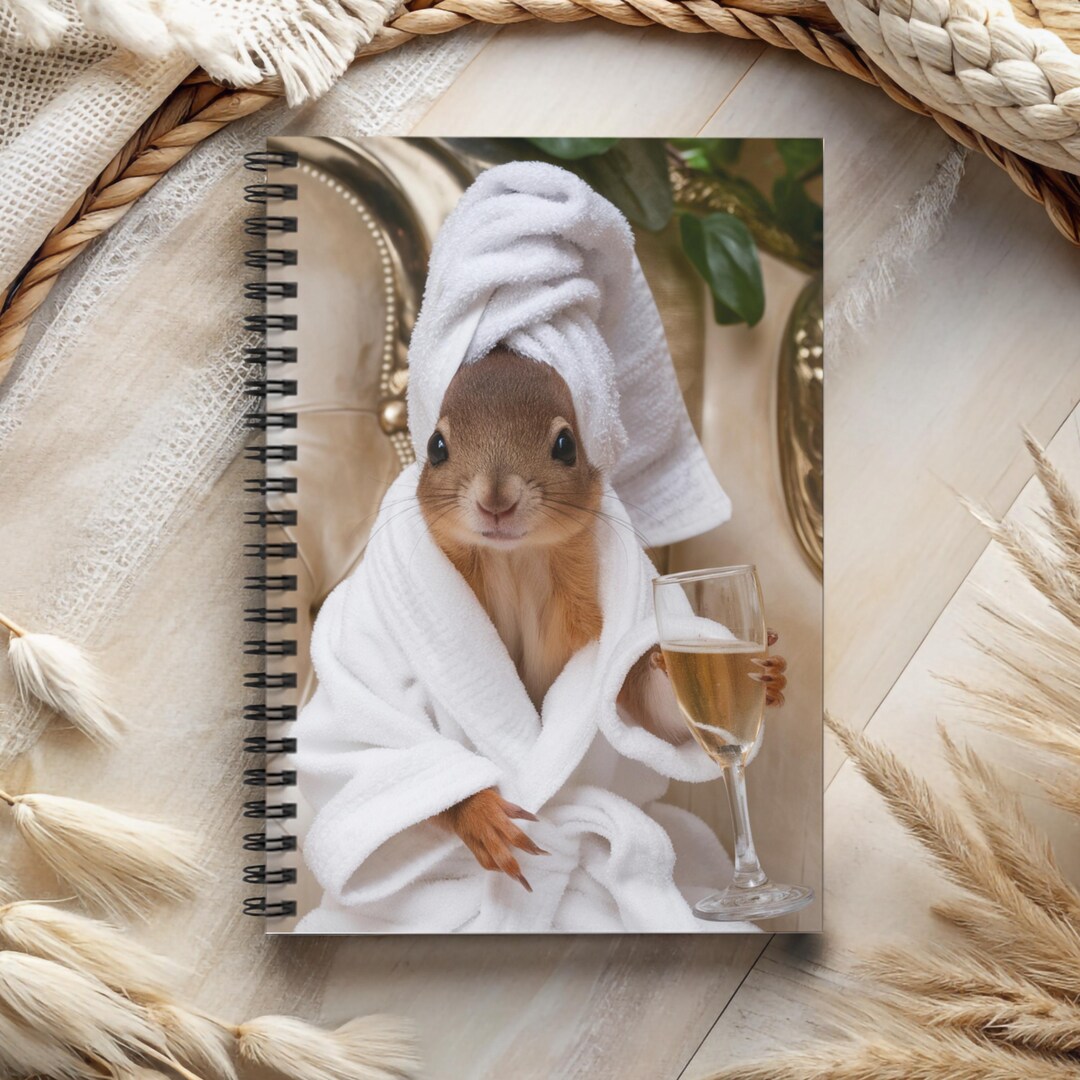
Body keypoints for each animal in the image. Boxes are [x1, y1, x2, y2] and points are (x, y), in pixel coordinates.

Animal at [417, 349, 787, 891]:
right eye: (436, 446)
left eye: (566, 445)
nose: (496, 501)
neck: (514, 563)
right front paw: (482, 817)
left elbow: (657, 714)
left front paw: (749, 672)